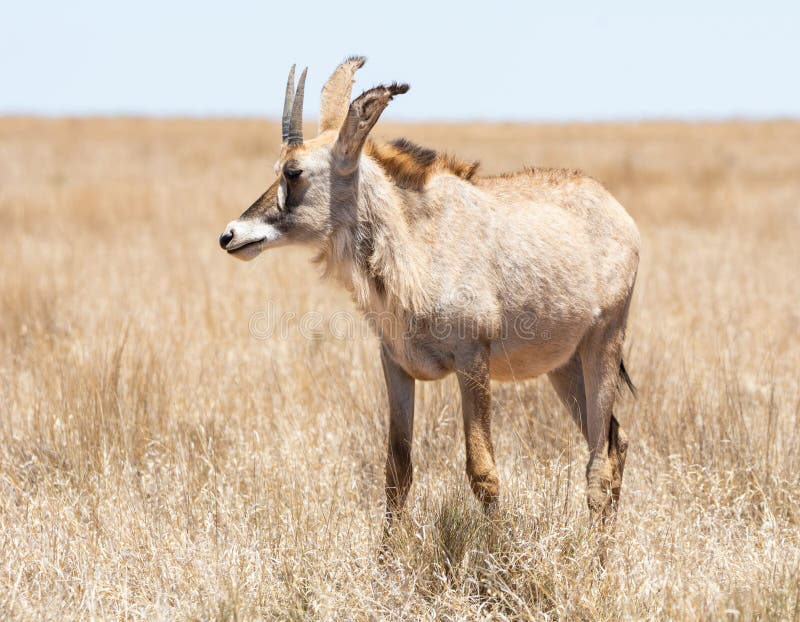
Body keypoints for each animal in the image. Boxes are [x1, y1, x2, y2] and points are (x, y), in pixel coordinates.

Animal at [219, 57, 640, 526]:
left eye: (294, 172)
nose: (230, 235)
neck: (414, 239)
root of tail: (616, 211)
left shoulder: (472, 363)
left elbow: (483, 471)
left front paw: (499, 547)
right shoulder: (396, 365)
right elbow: (397, 471)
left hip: (602, 345)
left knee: (599, 460)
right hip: (564, 366)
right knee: (615, 441)